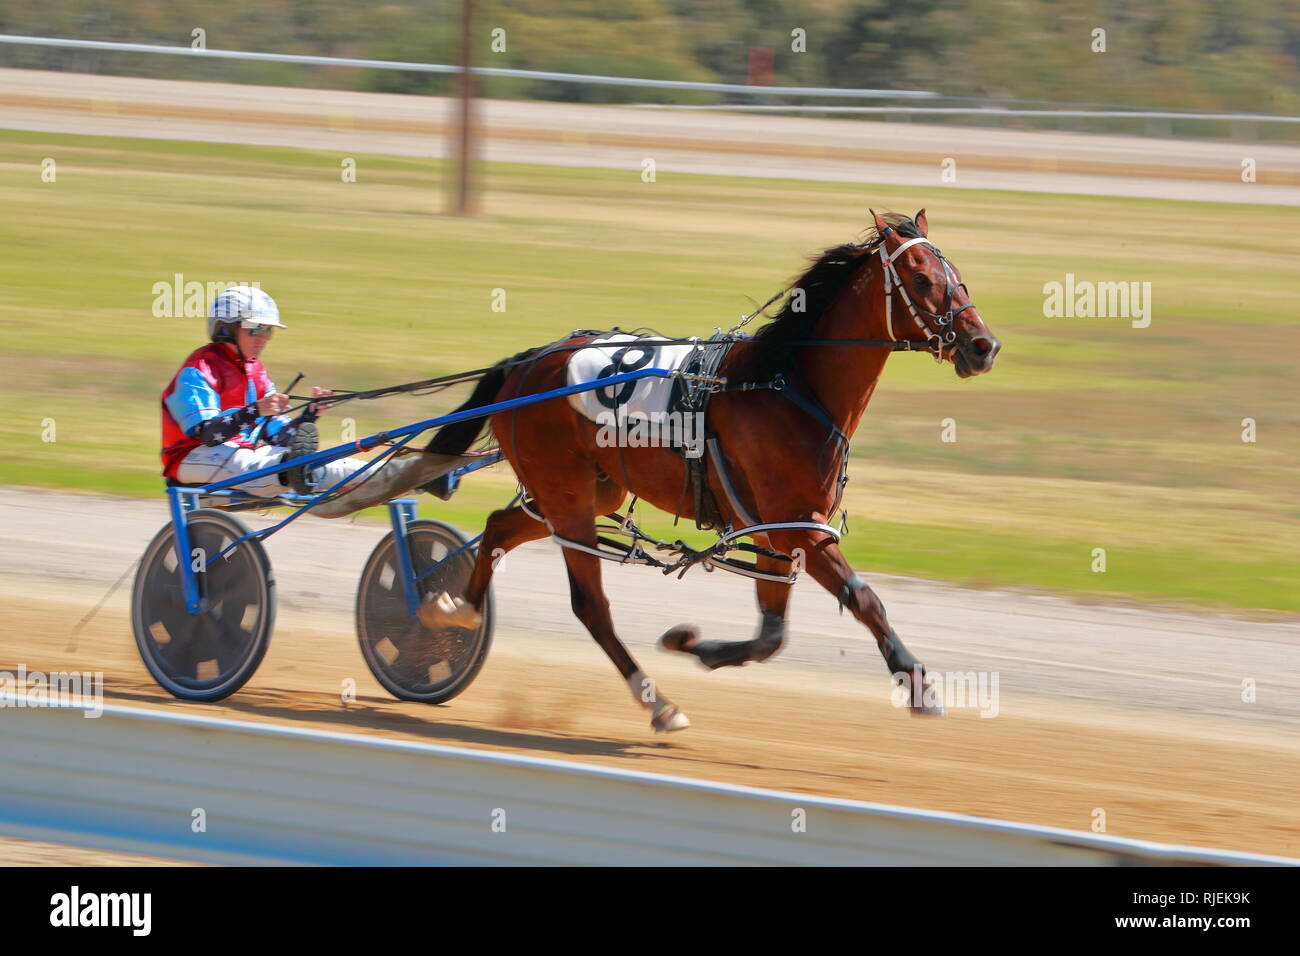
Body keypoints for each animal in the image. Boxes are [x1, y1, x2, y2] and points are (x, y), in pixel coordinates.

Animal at [422, 209, 1001, 730]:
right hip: (565, 492)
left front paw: (695, 644)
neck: (787, 386)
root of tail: (527, 361)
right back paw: (659, 704)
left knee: (500, 527)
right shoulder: (800, 529)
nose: (984, 346)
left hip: (586, 491)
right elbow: (865, 600)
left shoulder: (777, 534)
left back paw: (458, 607)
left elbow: (771, 634)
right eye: (922, 279)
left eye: (958, 275)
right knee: (590, 604)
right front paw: (919, 684)